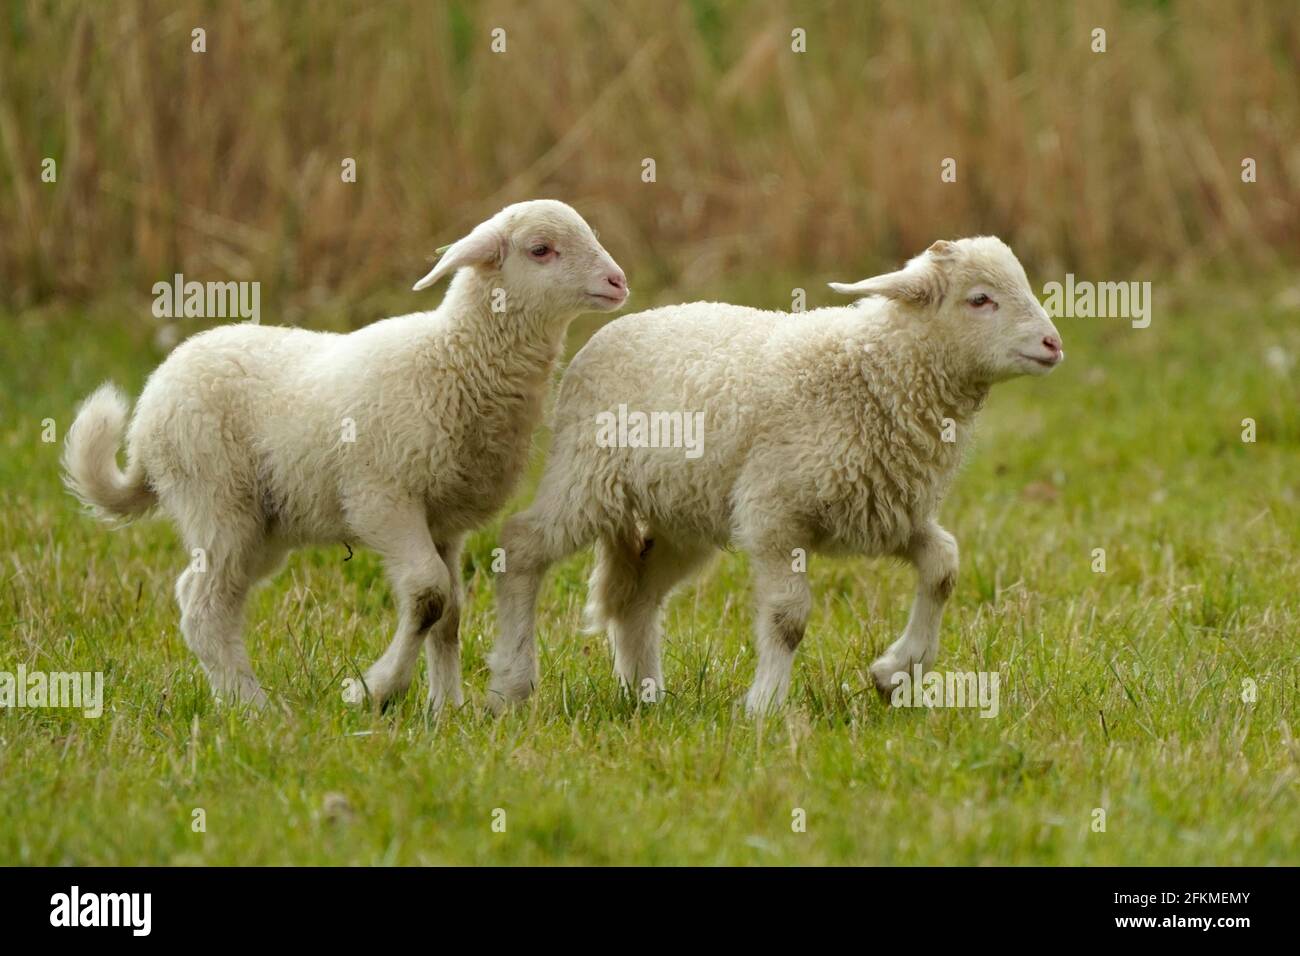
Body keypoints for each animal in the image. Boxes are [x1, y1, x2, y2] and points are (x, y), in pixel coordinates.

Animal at [63, 199, 628, 711]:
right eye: (541, 250)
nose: (618, 281)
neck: (454, 358)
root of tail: (147, 418)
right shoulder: (381, 498)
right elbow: (428, 593)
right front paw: (376, 690)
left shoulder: (445, 520)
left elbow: (450, 614)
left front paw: (445, 709)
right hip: (217, 497)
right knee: (202, 607)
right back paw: (254, 707)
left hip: (259, 526)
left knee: (211, 599)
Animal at [487, 236, 1063, 715]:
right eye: (980, 299)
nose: (1054, 344)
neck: (874, 374)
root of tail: (608, 333)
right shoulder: (774, 514)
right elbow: (788, 619)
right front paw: (764, 707)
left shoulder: (881, 508)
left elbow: (943, 565)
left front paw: (895, 672)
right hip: (586, 474)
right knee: (522, 545)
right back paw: (512, 685)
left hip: (682, 515)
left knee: (637, 597)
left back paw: (646, 697)